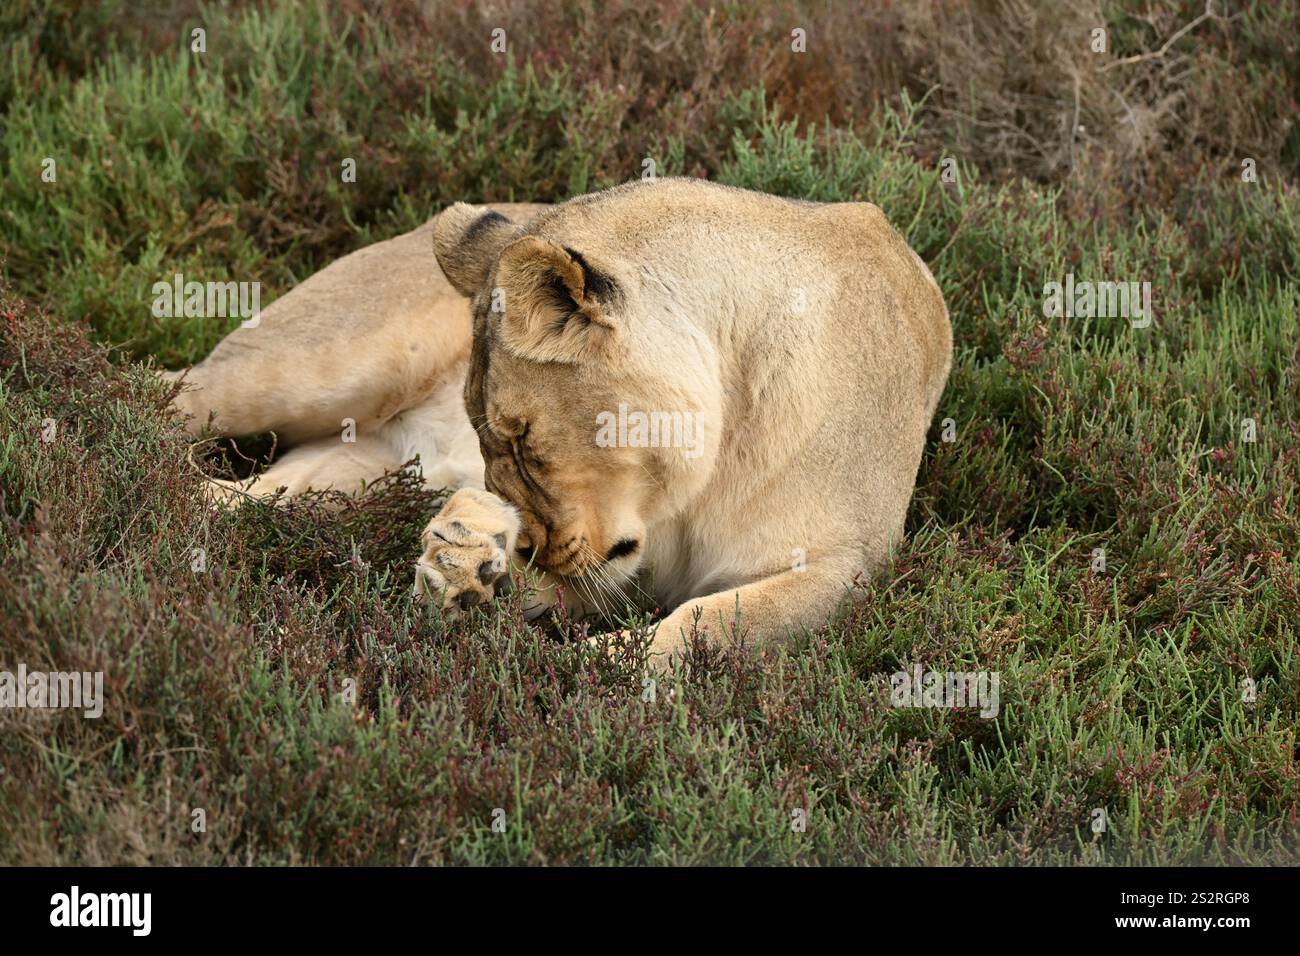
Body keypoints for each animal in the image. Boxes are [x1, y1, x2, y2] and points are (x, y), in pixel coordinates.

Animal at [164, 179, 951, 666]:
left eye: (518, 437)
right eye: (483, 433)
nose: (526, 549)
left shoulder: (844, 568)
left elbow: (711, 623)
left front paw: (593, 664)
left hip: (351, 466)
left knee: (248, 496)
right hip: (317, 367)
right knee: (160, 399)